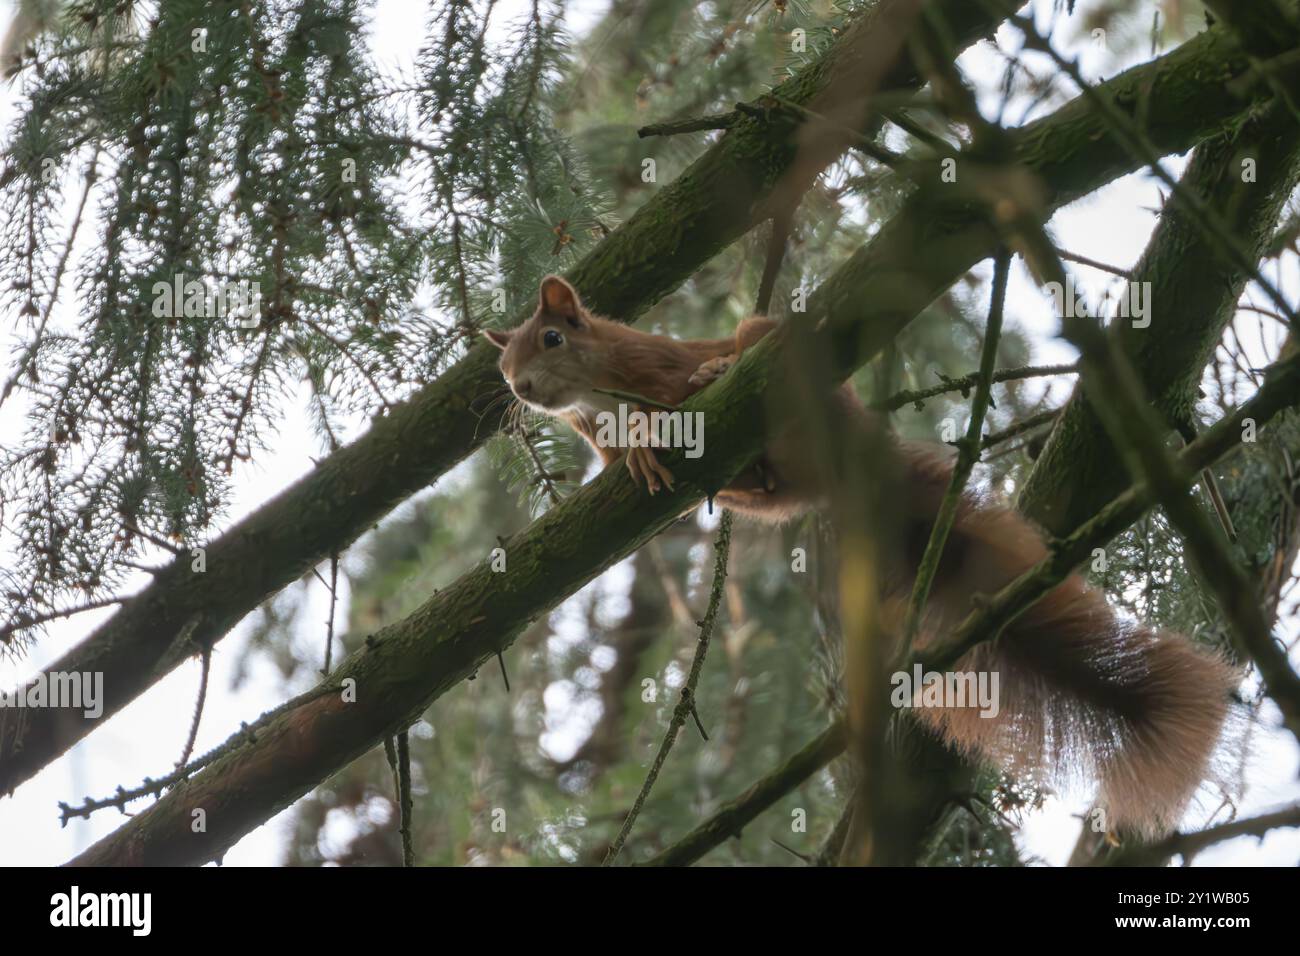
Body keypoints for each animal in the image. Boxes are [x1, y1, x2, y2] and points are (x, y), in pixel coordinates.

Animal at [486, 275, 1239, 837]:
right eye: (500, 364)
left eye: (552, 337)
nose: (520, 389)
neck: (597, 394)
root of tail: (844, 465)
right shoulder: (599, 447)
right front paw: (638, 450)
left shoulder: (652, 369)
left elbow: (667, 397)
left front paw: (656, 422)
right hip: (774, 488)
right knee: (762, 488)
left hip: (783, 361)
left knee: (754, 349)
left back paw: (722, 365)